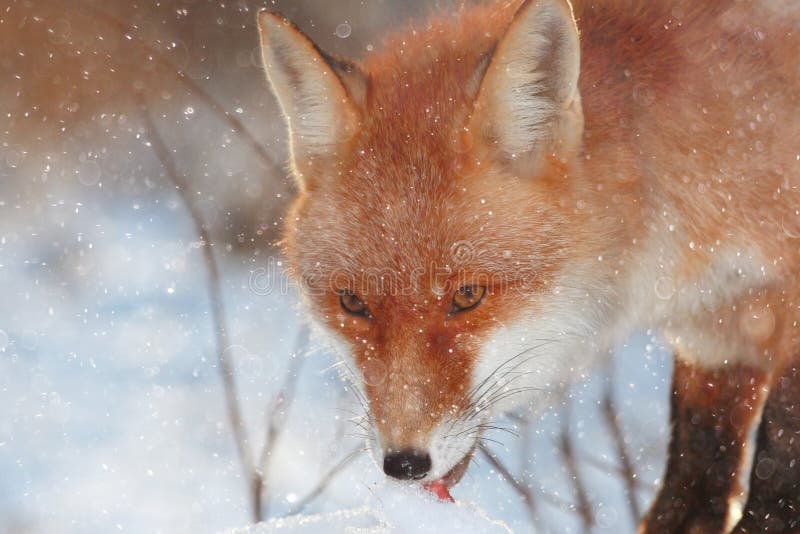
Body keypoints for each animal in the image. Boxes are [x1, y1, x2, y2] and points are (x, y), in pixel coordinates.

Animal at [256, 0, 800, 531]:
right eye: (352, 303)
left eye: (468, 296)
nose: (405, 464)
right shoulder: (718, 338)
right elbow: (696, 481)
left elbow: (777, 475)